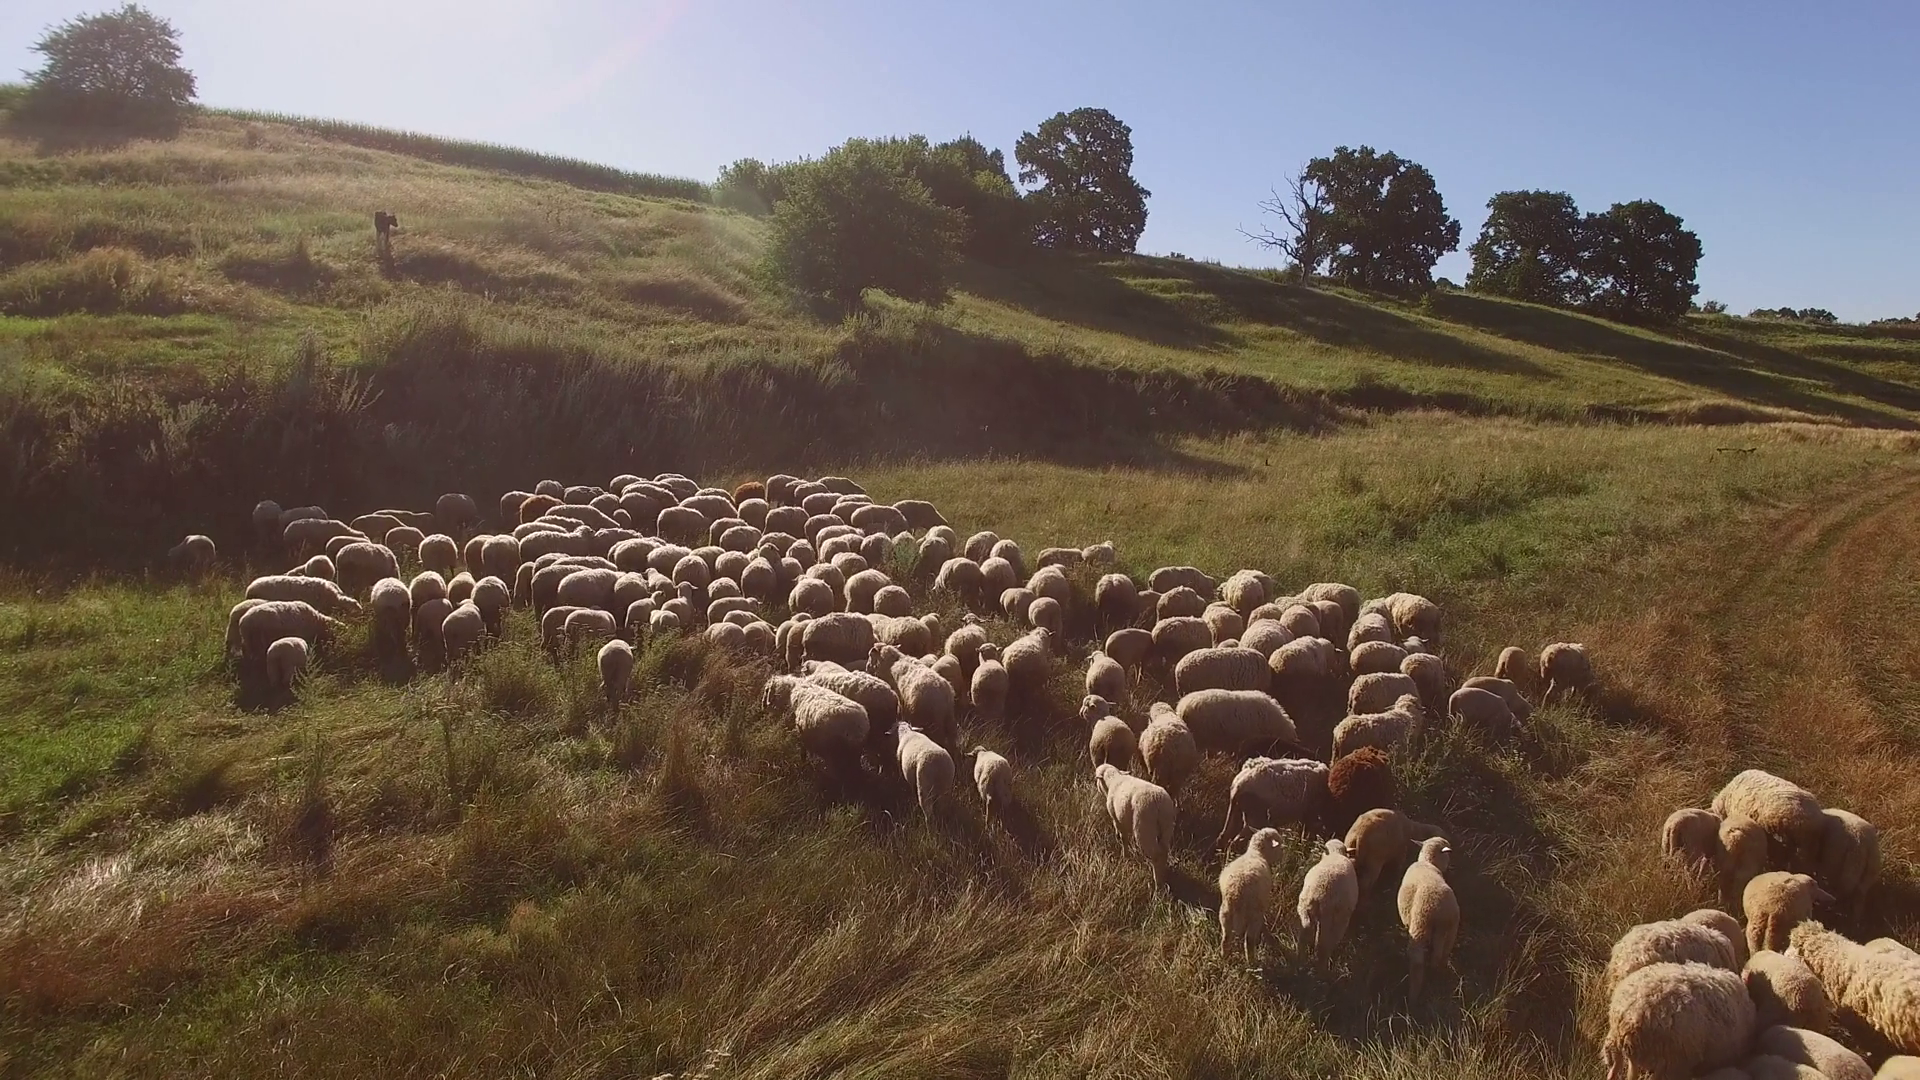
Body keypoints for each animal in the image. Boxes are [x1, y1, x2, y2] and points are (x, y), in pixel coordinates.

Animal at [1218, 827, 1286, 962]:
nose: (1282, 855)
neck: (1256, 853)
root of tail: (1236, 894)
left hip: (1225, 915)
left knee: (1225, 939)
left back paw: (1224, 959)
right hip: (1254, 916)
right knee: (1249, 940)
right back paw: (1251, 962)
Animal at [1398, 836, 1459, 1002]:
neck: (1428, 862)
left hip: (1422, 926)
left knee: (1418, 958)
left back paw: (1414, 993)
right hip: (1448, 928)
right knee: (1438, 955)